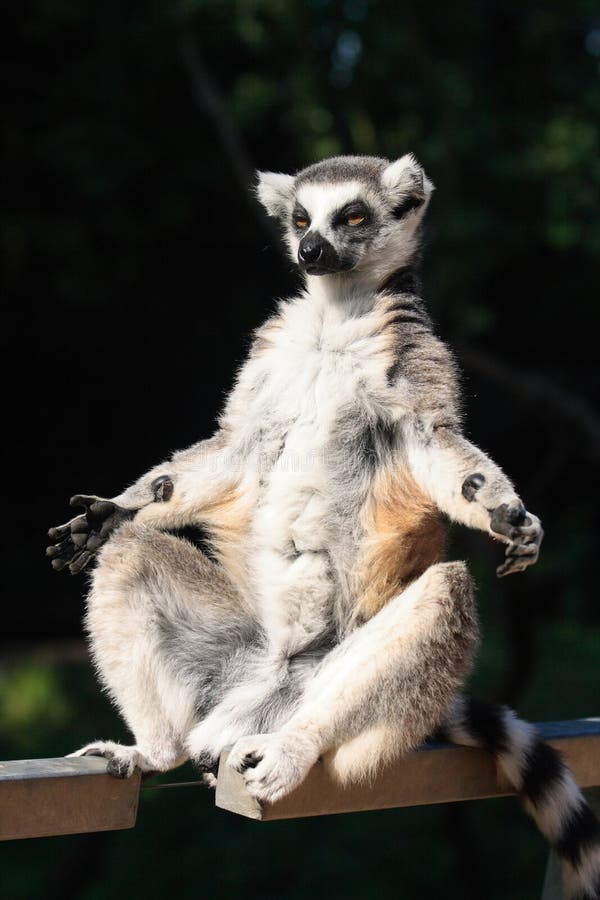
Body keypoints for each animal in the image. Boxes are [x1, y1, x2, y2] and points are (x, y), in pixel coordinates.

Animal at [47, 155, 599, 899]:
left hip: (351, 690)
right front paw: (112, 509)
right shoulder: (270, 361)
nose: (310, 250)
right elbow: (231, 451)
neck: (337, 317)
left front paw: (508, 514)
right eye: (301, 218)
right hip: (231, 664)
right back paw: (155, 747)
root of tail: (273, 690)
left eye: (353, 216)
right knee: (129, 555)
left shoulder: (412, 356)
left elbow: (435, 450)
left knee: (442, 596)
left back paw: (292, 748)